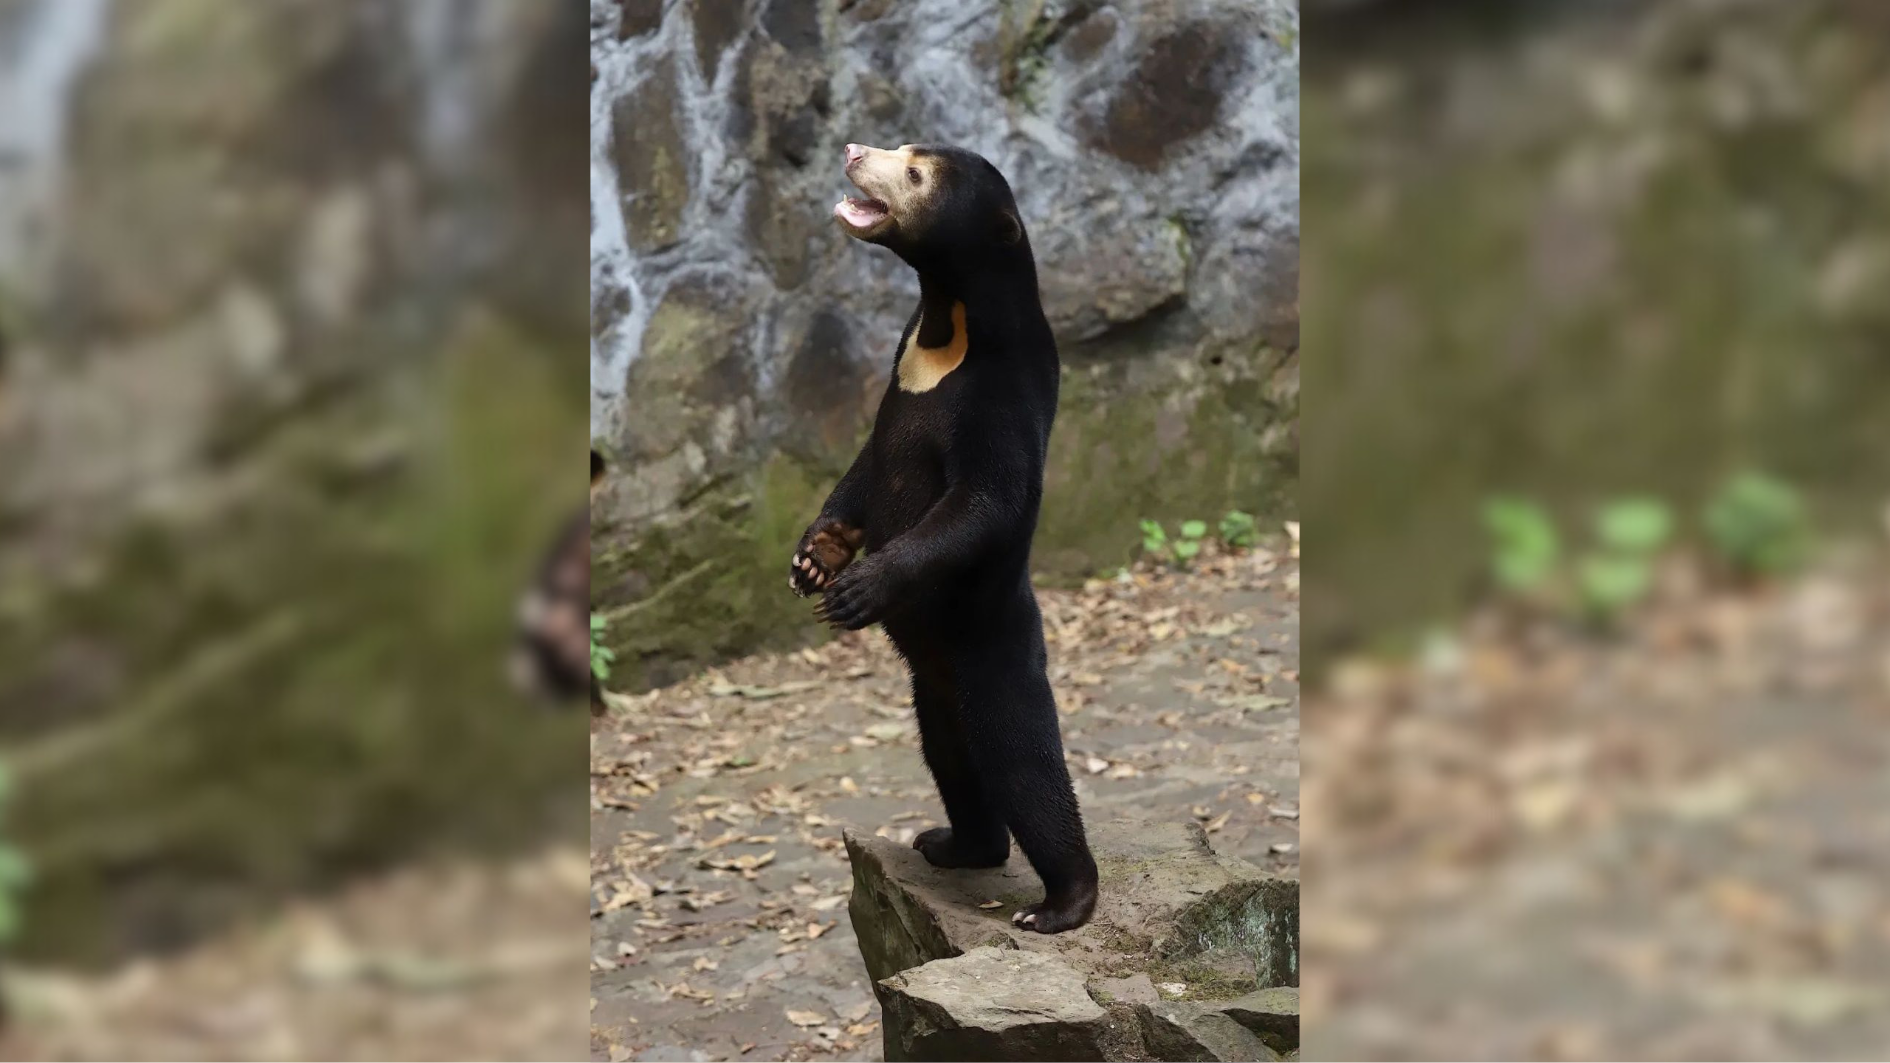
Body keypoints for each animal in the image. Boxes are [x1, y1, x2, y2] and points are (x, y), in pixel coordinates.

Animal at [789, 142, 1099, 933]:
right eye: (905, 147)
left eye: (915, 174)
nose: (852, 150)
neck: (945, 321)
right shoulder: (896, 377)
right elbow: (865, 468)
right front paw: (813, 560)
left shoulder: (999, 393)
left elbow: (983, 500)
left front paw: (857, 589)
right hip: (933, 689)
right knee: (951, 757)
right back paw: (954, 843)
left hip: (991, 651)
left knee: (1022, 764)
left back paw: (1062, 903)